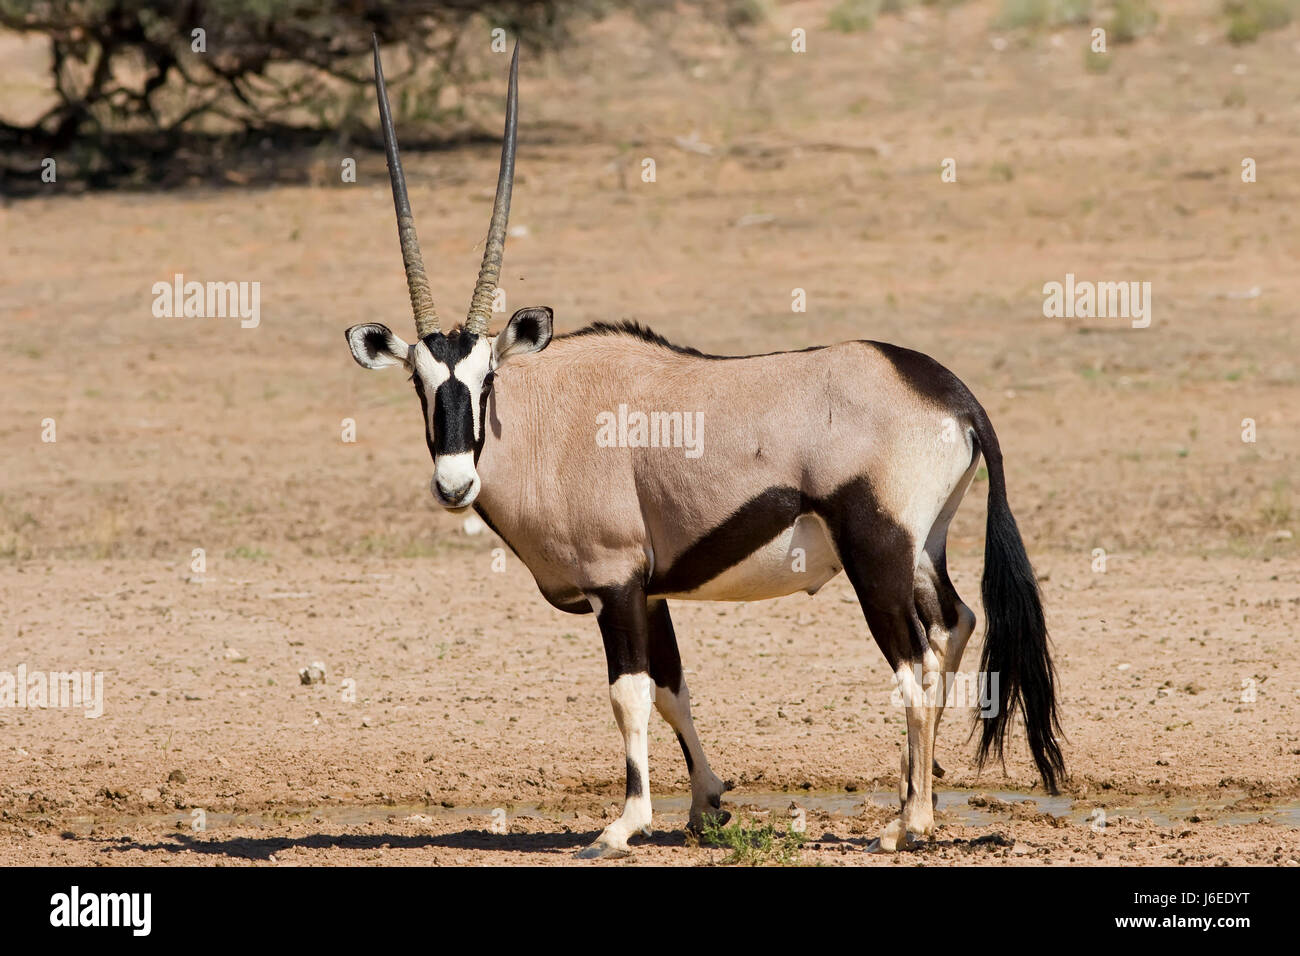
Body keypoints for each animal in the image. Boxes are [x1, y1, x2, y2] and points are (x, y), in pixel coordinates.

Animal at [345, 37, 1064, 858]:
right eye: (420, 380)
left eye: (486, 377)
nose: (454, 483)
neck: (549, 418)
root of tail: (951, 393)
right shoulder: (652, 590)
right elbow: (672, 690)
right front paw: (705, 805)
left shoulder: (617, 586)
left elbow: (628, 695)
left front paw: (622, 825)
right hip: (923, 550)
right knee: (953, 629)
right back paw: (924, 802)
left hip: (877, 555)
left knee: (913, 670)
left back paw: (905, 825)